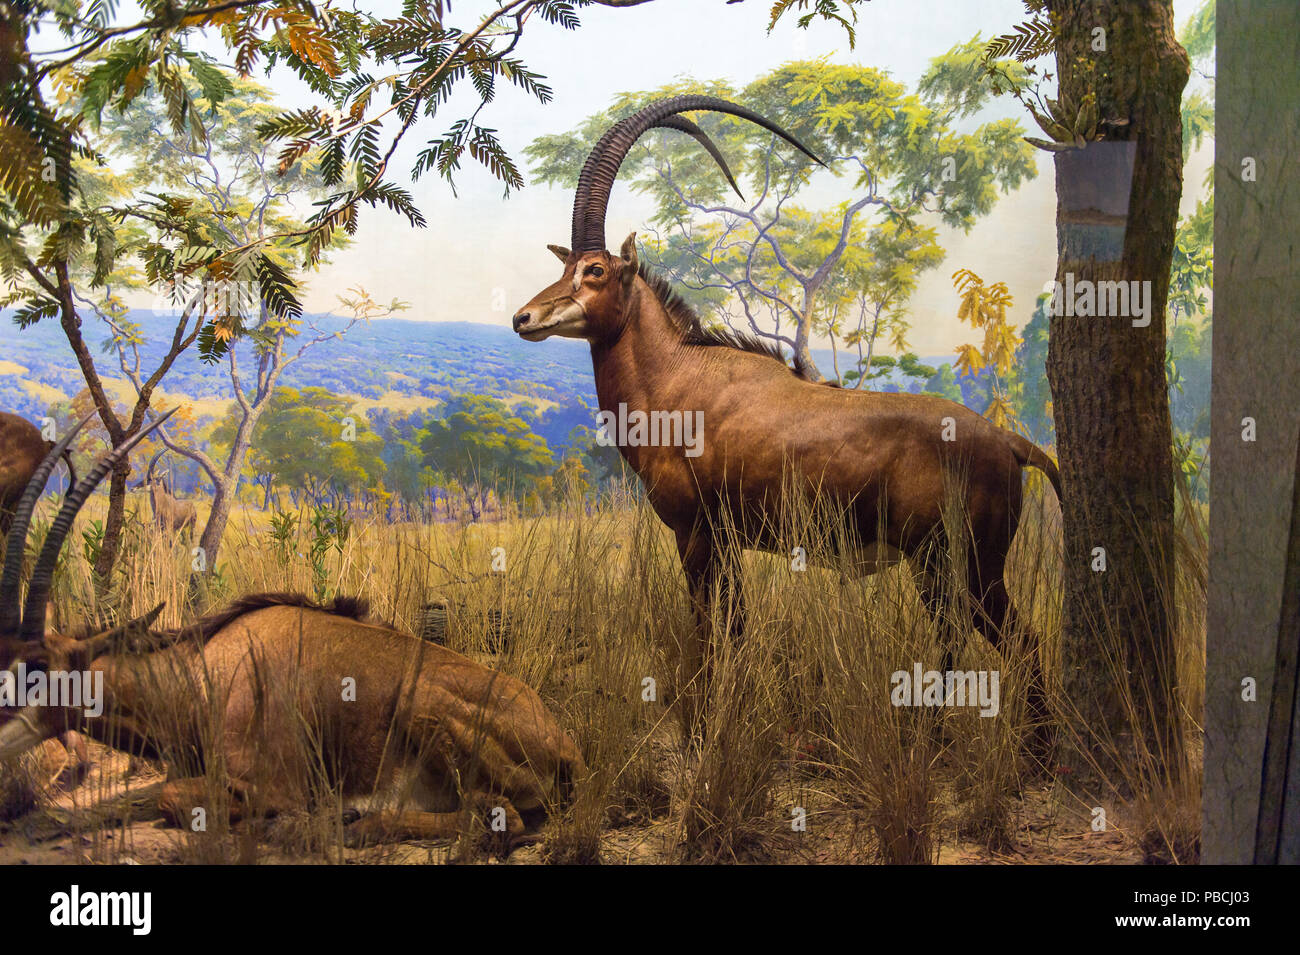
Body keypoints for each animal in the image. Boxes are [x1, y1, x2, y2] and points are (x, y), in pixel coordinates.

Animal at [0, 415, 586, 847]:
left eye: (37, 668)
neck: (201, 673)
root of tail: (565, 746)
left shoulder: (268, 784)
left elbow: (175, 800)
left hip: (422, 706)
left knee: (497, 817)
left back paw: (343, 822)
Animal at [512, 96, 1063, 738]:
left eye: (595, 271)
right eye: (567, 265)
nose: (525, 318)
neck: (679, 377)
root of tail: (1010, 441)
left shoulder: (694, 535)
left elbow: (709, 634)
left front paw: (705, 726)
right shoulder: (726, 543)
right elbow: (737, 629)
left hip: (964, 570)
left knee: (1017, 646)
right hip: (949, 574)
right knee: (968, 648)